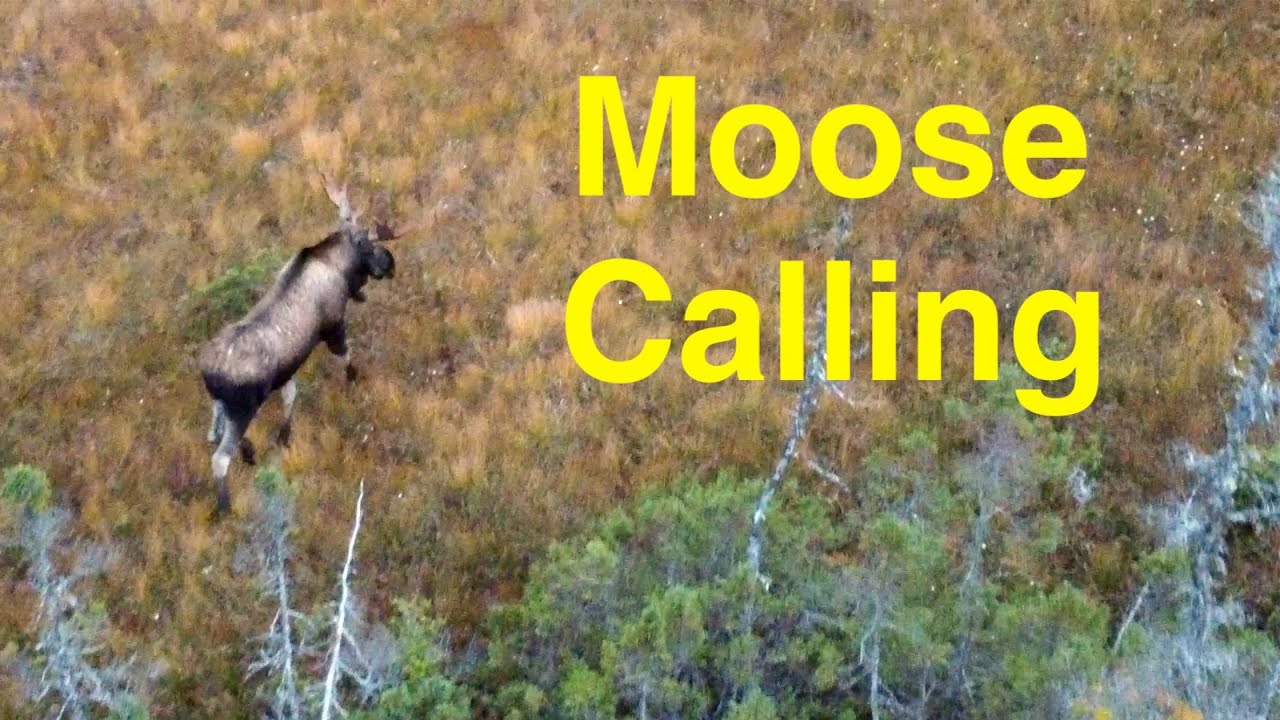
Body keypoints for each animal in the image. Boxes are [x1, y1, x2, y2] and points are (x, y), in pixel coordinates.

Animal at [198, 176, 407, 515]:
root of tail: (208, 372)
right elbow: (346, 357)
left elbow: (290, 397)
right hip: (243, 406)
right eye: (369, 244)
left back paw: (249, 452)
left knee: (213, 433)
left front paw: (285, 436)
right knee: (219, 457)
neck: (336, 266)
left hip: (221, 402)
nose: (391, 263)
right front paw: (354, 380)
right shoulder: (333, 326)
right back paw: (226, 507)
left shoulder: (289, 368)